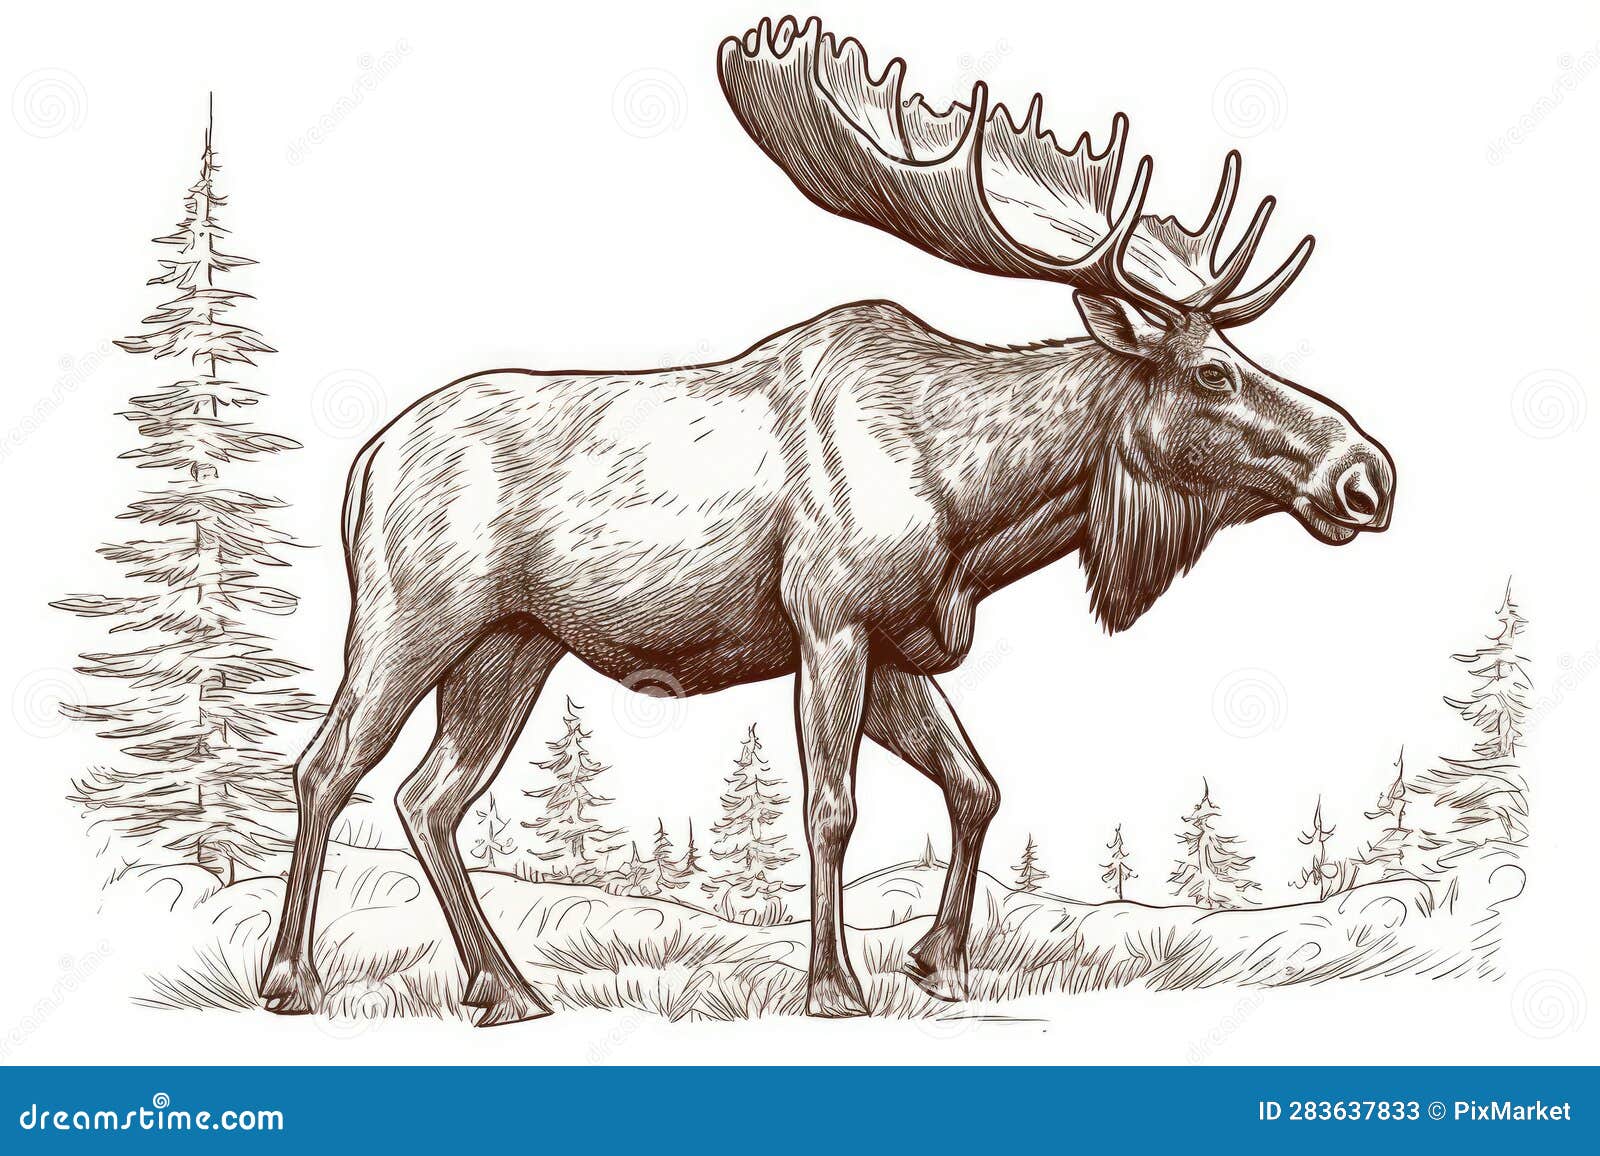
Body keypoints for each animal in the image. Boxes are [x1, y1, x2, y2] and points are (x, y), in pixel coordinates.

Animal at [262, 16, 1394, 1025]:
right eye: (1211, 373)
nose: (1368, 475)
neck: (974, 512)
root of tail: (362, 467)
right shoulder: (830, 620)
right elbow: (832, 807)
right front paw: (834, 985)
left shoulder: (900, 642)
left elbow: (976, 785)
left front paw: (939, 960)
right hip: (411, 620)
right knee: (326, 766)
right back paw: (292, 979)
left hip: (513, 645)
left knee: (429, 797)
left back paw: (504, 989)